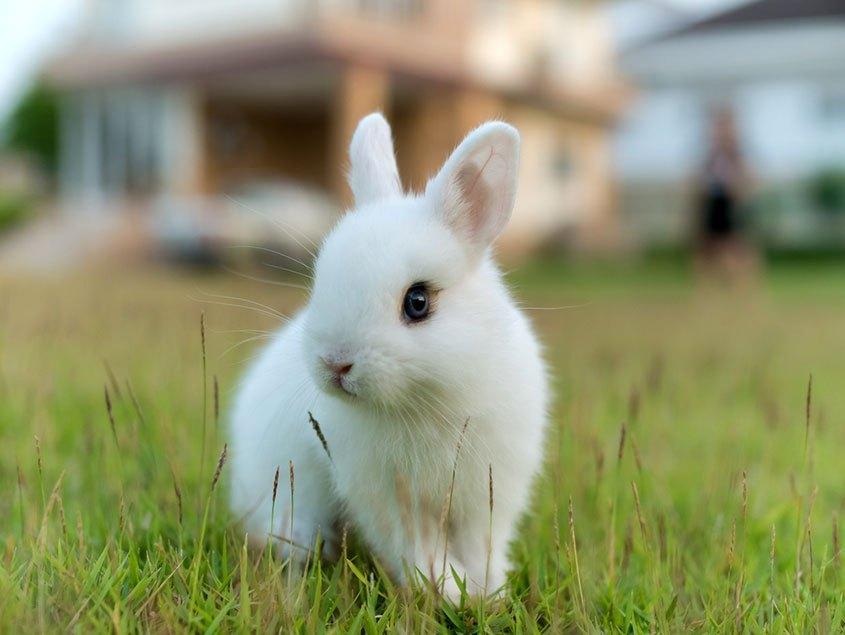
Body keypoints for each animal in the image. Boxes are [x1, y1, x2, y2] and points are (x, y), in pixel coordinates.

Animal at [229, 112, 549, 599]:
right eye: (320, 281)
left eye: (417, 302)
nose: (335, 363)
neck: (427, 401)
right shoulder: (387, 499)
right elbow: (417, 547)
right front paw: (448, 591)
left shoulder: (490, 491)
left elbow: (482, 543)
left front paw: (487, 592)